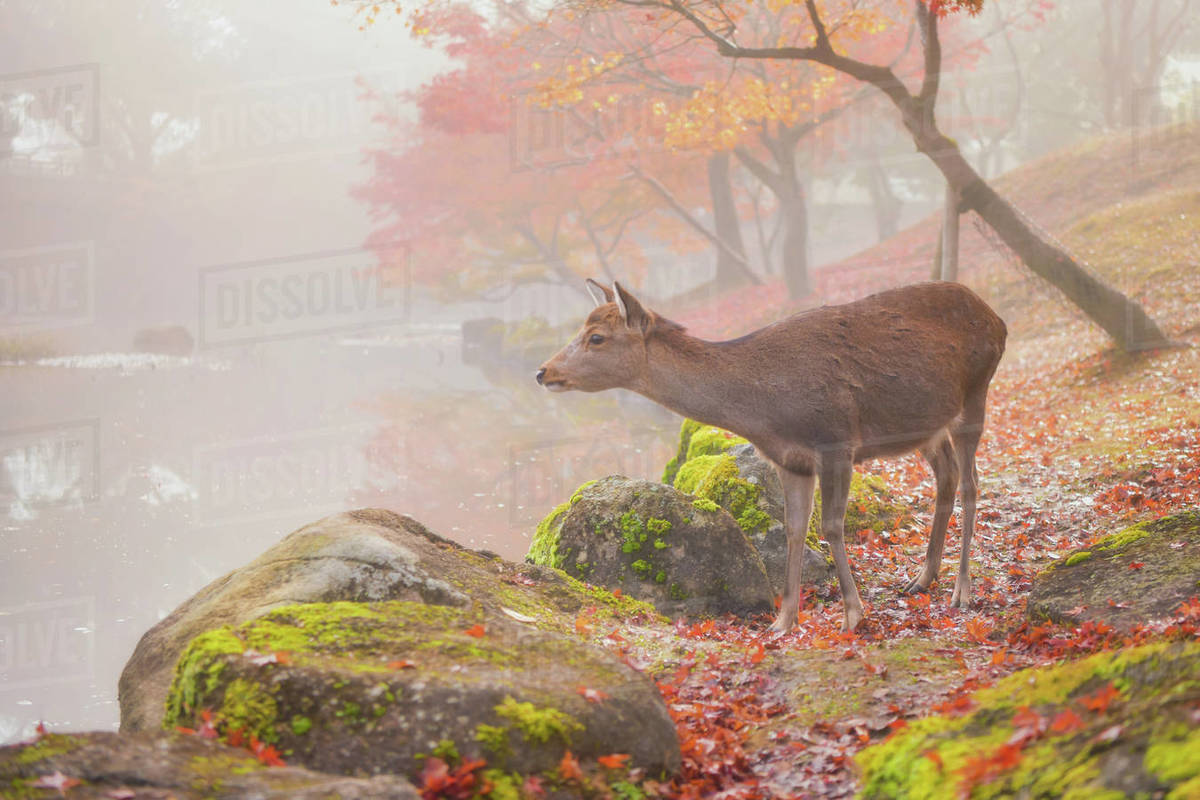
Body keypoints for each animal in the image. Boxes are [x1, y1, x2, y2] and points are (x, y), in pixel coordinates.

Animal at [536, 279, 1006, 633]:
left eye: (596, 337)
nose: (543, 371)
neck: (766, 411)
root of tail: (997, 319)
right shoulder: (790, 459)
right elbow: (795, 528)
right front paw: (784, 620)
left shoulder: (836, 440)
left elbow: (831, 527)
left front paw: (853, 615)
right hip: (928, 424)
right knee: (947, 477)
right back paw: (922, 578)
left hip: (976, 392)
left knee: (971, 483)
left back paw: (962, 590)